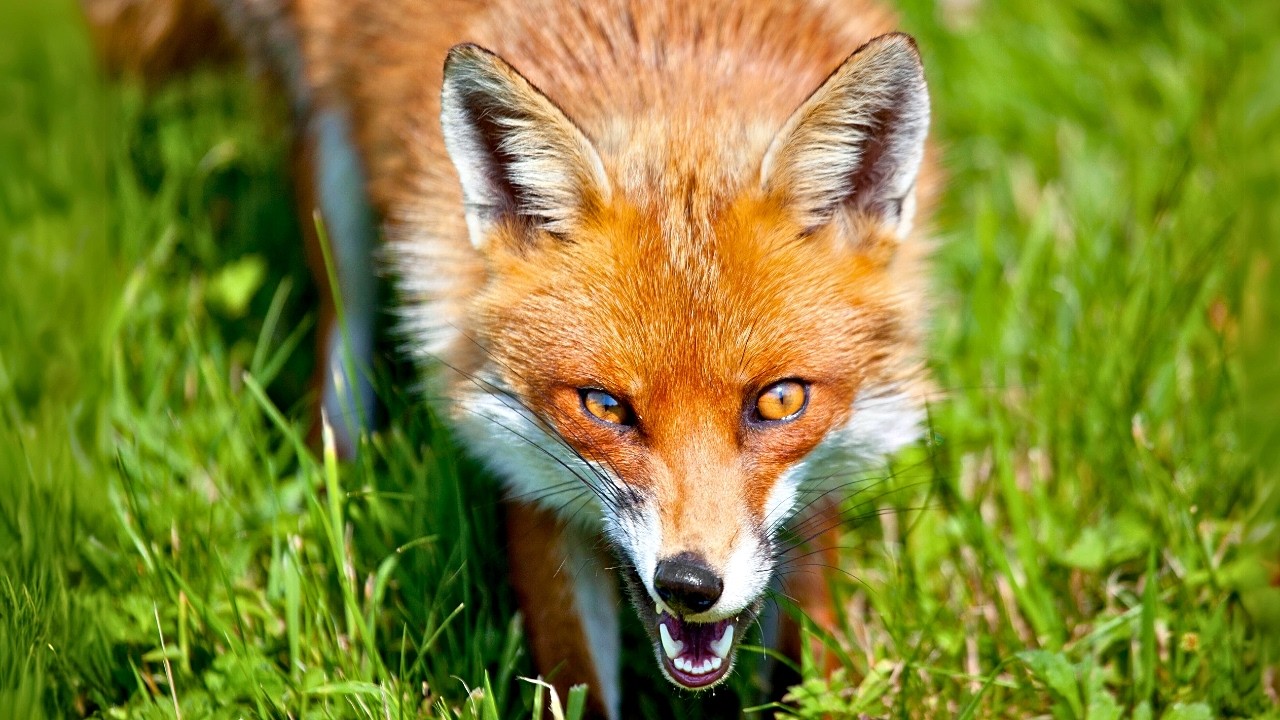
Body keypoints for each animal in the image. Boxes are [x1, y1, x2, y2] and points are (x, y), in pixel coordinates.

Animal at [84, 0, 936, 716]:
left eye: (780, 401)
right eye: (605, 406)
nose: (689, 584)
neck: (676, 69)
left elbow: (807, 643)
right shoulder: (526, 456)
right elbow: (577, 678)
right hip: (332, 159)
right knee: (341, 326)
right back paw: (341, 478)